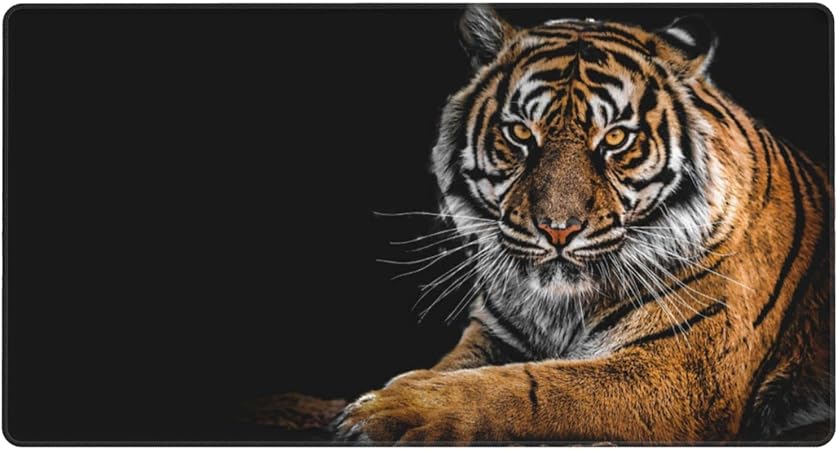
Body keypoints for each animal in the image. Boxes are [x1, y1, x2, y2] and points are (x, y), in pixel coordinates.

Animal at [334, 5, 833, 444]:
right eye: (520, 133)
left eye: (616, 138)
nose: (558, 229)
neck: (560, 307)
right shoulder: (492, 333)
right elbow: (457, 367)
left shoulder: (681, 373)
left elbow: (527, 387)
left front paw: (390, 410)